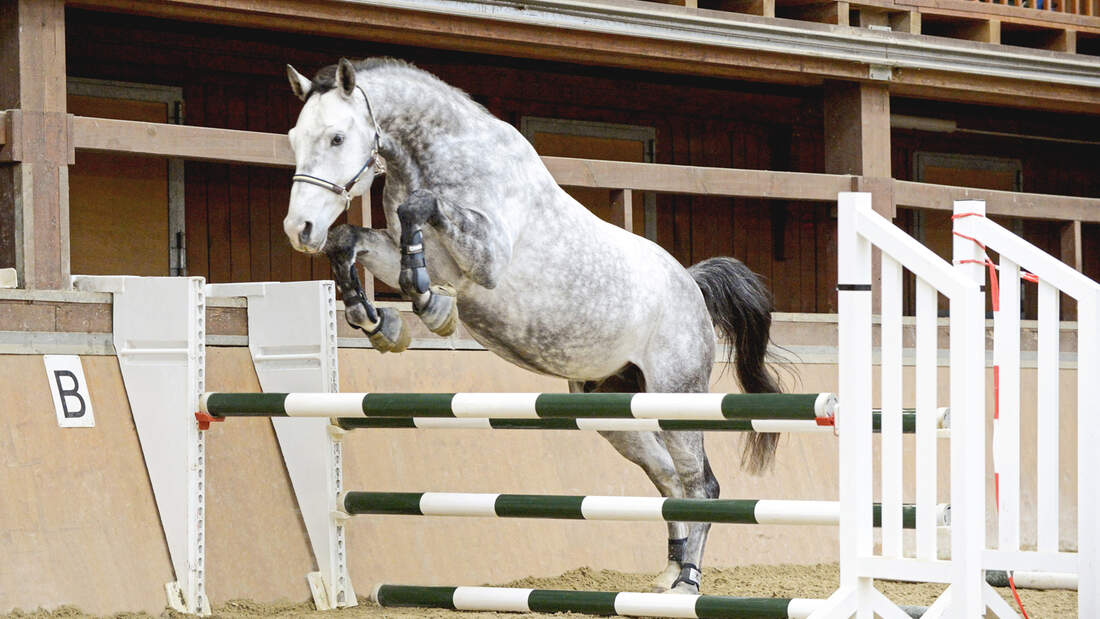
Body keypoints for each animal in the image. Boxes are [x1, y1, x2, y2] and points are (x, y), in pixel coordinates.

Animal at [282, 57, 782, 594]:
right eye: (294, 137)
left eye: (336, 137)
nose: (299, 230)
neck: (438, 155)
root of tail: (690, 285)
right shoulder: (411, 253)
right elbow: (349, 240)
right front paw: (377, 322)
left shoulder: (485, 260)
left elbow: (418, 207)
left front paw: (430, 307)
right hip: (614, 409)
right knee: (669, 478)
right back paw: (669, 570)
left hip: (677, 395)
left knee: (699, 483)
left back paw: (689, 581)